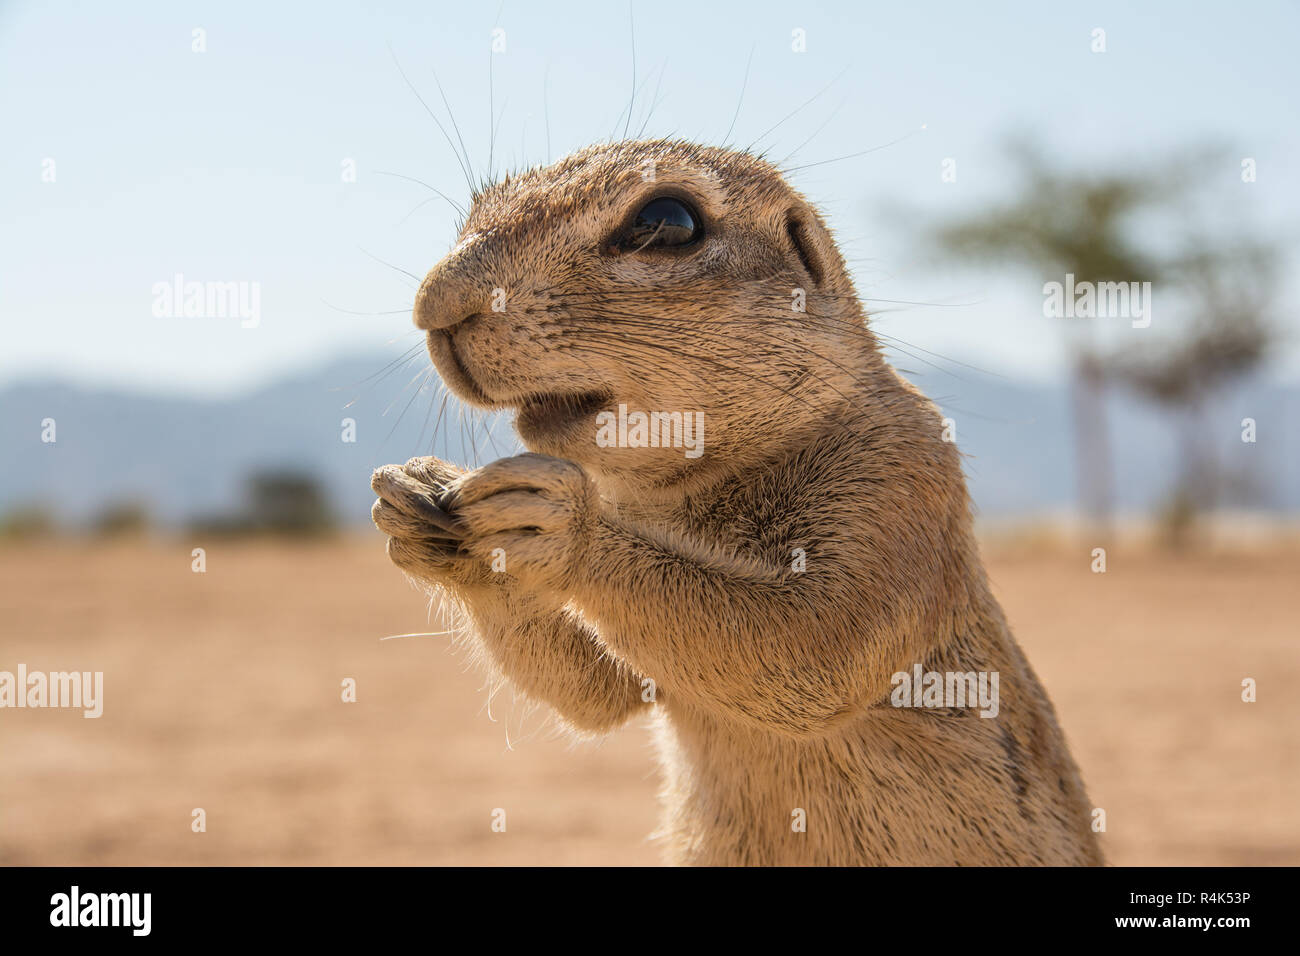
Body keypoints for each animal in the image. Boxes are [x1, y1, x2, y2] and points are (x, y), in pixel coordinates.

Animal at [371, 138, 1103, 866]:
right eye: (473, 210)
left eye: (668, 221)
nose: (434, 304)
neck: (687, 489)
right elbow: (601, 692)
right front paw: (422, 510)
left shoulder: (904, 479)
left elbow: (819, 642)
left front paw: (559, 522)